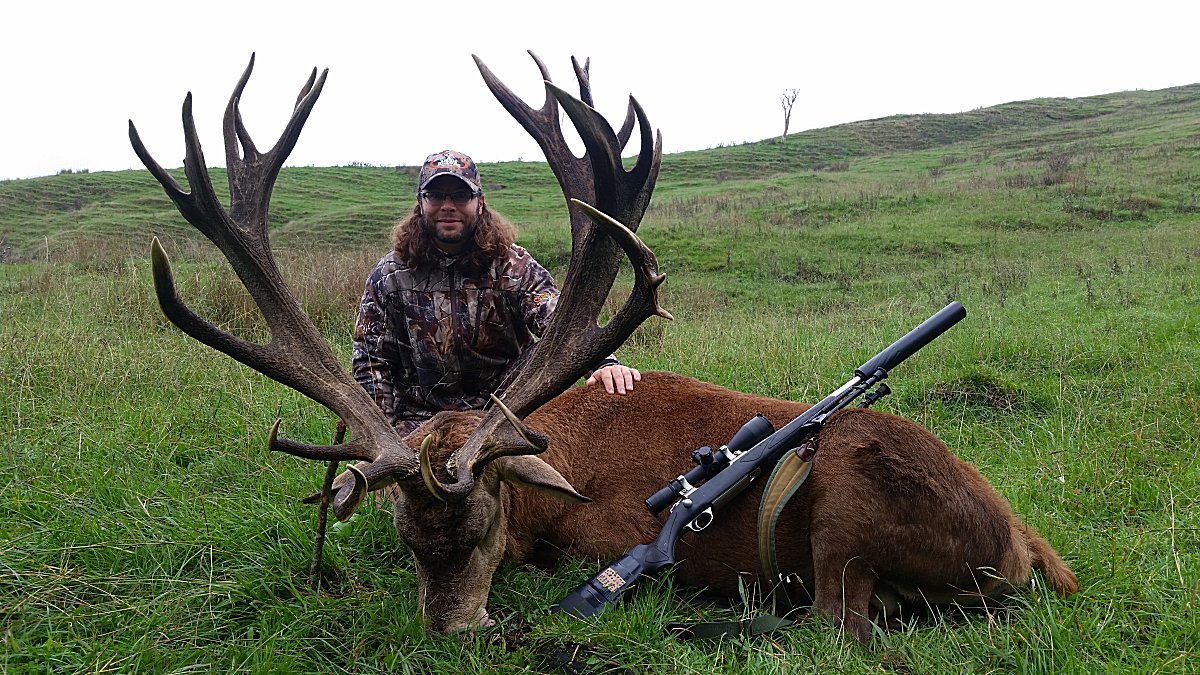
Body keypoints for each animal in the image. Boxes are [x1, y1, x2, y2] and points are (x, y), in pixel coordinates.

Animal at [130, 53, 1078, 644]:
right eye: (405, 535)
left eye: (482, 524)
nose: (453, 628)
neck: (553, 470)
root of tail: (1028, 543)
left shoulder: (604, 532)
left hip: (850, 496)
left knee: (837, 628)